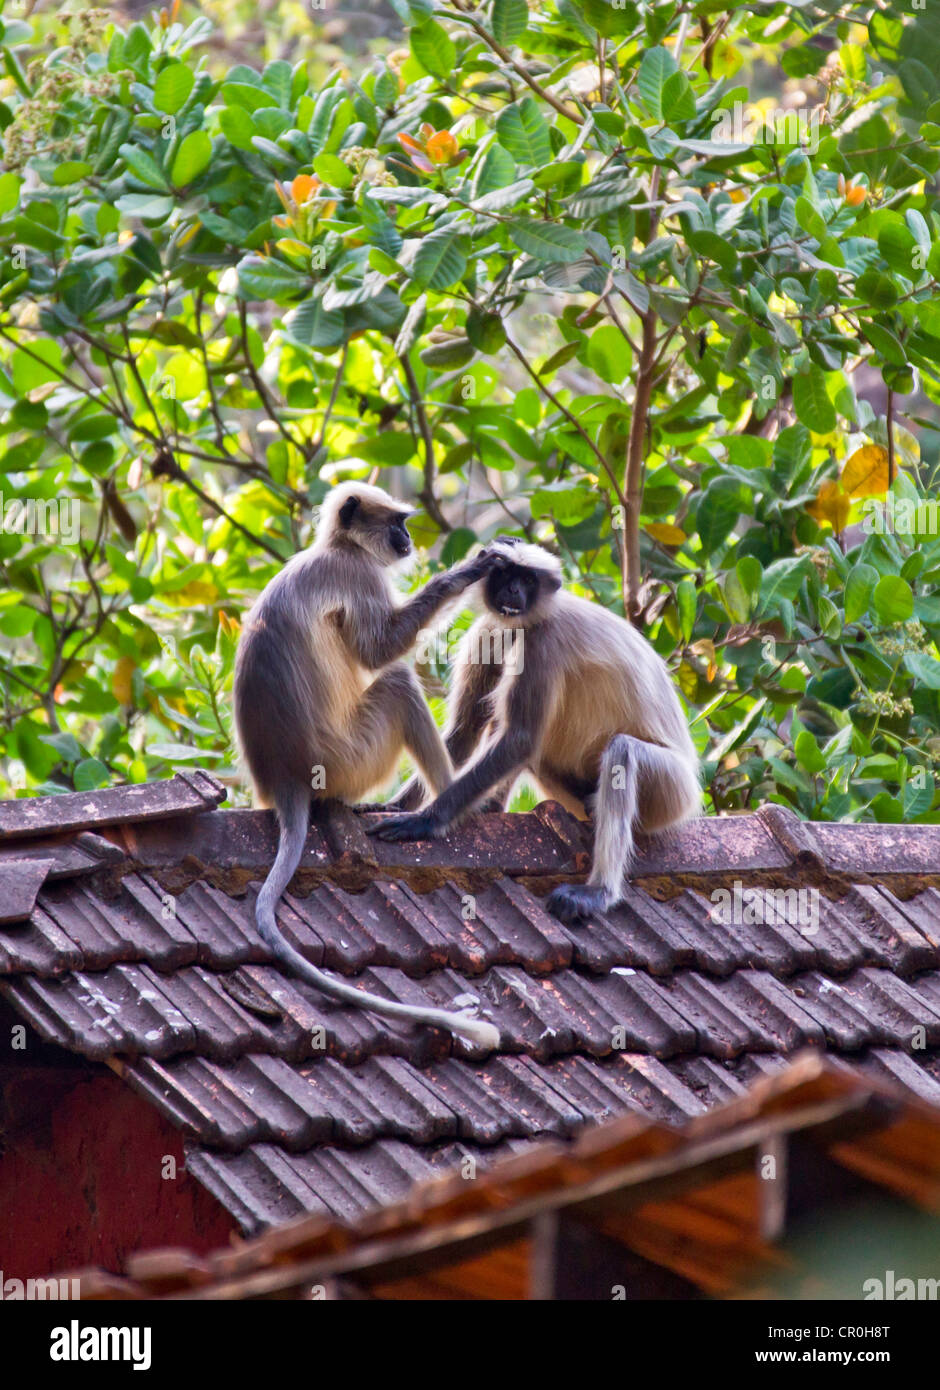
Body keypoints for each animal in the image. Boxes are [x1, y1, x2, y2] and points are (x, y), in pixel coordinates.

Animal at [233, 481, 501, 1048]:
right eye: (397, 522)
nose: (406, 539)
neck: (338, 547)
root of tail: (285, 778)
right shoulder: (357, 575)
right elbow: (382, 651)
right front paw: (465, 573)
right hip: (352, 758)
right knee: (397, 681)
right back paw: (455, 806)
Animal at [371, 538, 701, 925]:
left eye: (527, 580)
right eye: (505, 573)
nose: (514, 590)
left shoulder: (543, 642)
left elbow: (520, 739)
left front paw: (425, 820)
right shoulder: (489, 631)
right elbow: (467, 730)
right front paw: (392, 806)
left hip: (673, 793)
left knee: (622, 751)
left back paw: (598, 893)